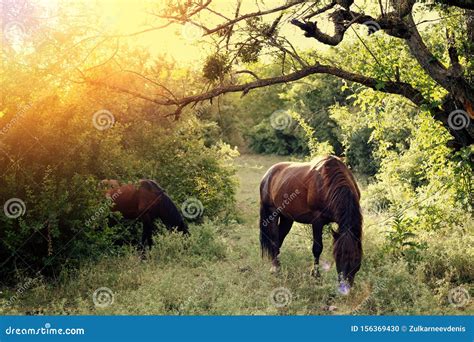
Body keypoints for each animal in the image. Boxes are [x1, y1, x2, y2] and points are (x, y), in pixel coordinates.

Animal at [260, 156, 362, 290]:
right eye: (338, 255)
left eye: (356, 257)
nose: (344, 287)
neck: (328, 182)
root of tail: (267, 175)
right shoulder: (317, 222)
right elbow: (317, 249)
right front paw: (316, 276)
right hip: (272, 213)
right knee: (274, 239)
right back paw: (275, 267)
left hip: (287, 218)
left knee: (279, 239)